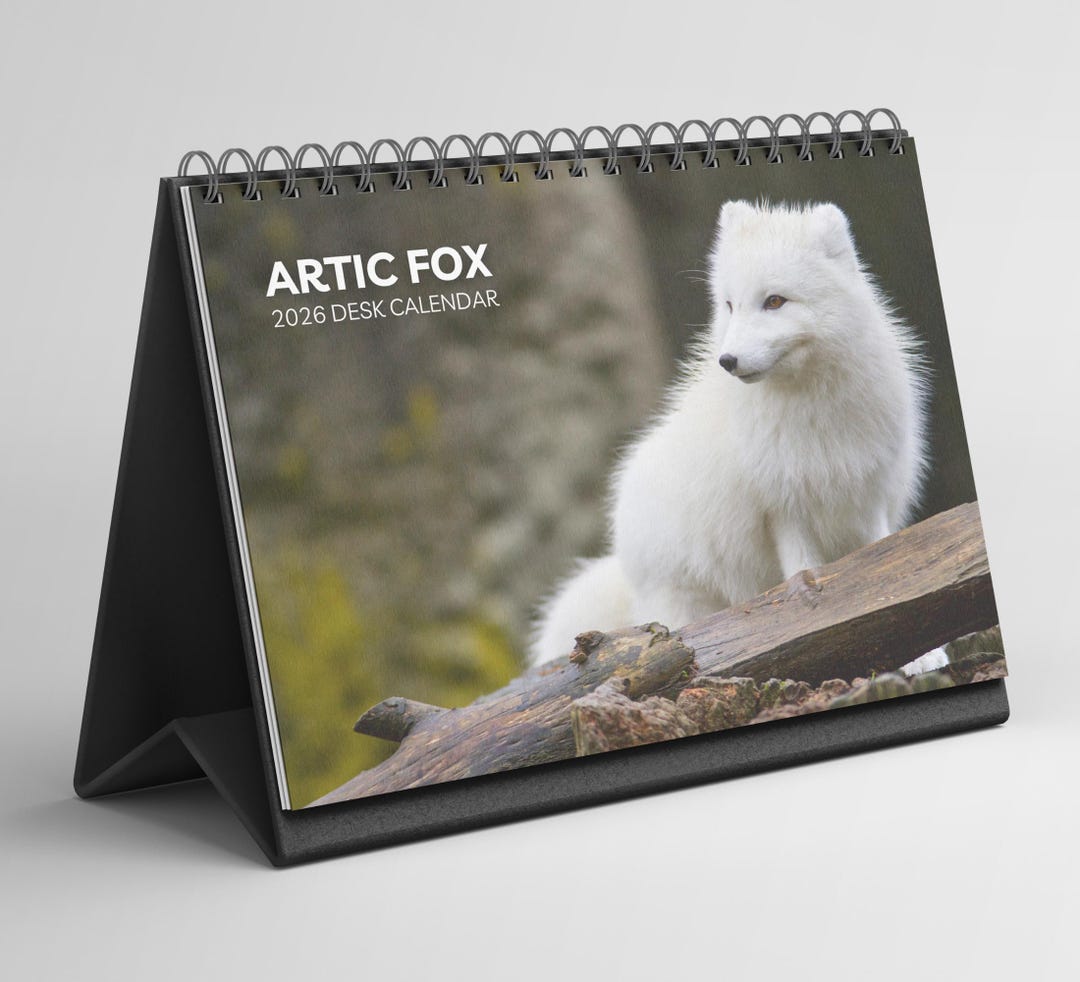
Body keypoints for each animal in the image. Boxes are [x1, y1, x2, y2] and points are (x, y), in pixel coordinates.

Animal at [531, 199, 946, 676]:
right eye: (729, 304)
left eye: (775, 301)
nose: (726, 361)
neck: (812, 408)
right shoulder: (781, 506)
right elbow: (805, 570)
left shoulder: (867, 490)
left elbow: (887, 557)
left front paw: (921, 652)